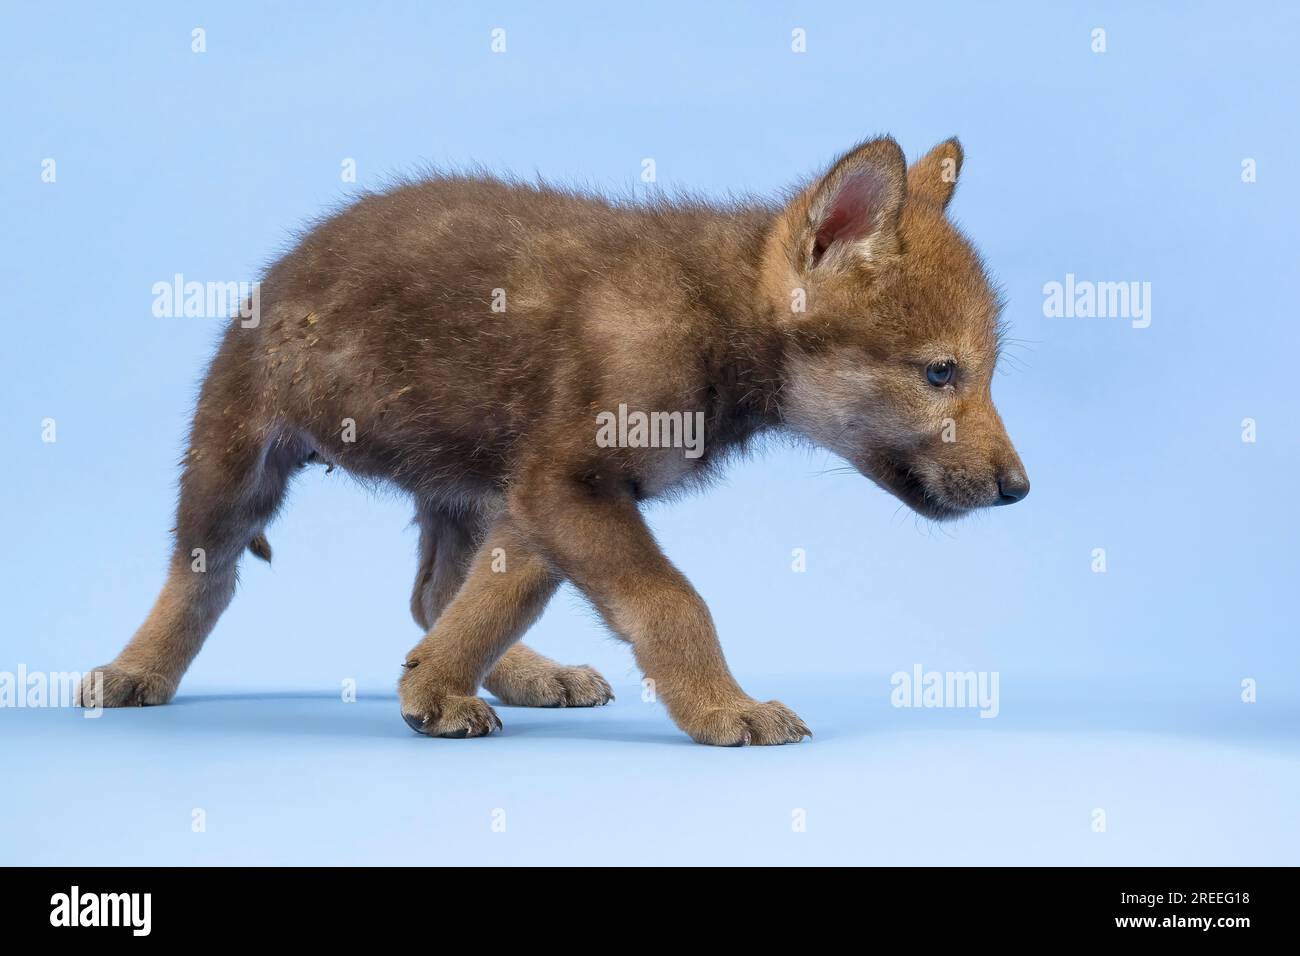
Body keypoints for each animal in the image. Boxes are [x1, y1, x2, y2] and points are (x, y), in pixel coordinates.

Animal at [81, 136, 1029, 745]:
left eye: (983, 374)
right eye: (941, 373)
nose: (1020, 489)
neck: (714, 318)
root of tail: (281, 265)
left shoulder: (550, 496)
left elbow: (495, 603)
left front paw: (432, 685)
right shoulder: (566, 485)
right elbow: (673, 602)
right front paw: (727, 709)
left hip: (467, 481)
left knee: (433, 592)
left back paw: (528, 674)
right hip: (238, 454)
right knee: (203, 578)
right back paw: (134, 671)